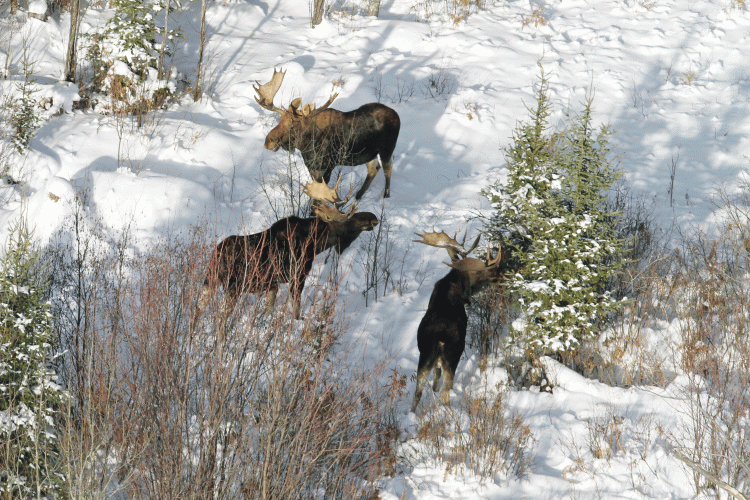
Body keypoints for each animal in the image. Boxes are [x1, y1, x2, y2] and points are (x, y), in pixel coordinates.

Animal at [194, 176, 378, 330]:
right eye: (348, 221)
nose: (373, 218)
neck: (315, 245)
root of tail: (216, 255)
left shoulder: (272, 285)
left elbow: (267, 310)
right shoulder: (297, 276)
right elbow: (296, 310)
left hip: (210, 280)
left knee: (198, 309)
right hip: (234, 286)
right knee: (220, 317)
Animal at [254, 68, 400, 200]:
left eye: (292, 125)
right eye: (279, 120)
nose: (268, 142)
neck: (305, 146)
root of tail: (397, 116)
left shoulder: (327, 167)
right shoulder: (313, 168)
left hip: (387, 149)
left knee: (387, 168)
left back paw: (386, 196)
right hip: (368, 153)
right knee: (374, 167)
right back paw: (358, 196)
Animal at [410, 230, 506, 412]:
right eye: (485, 273)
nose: (502, 276)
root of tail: (439, 341)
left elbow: (435, 378)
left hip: (425, 356)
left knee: (417, 392)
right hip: (452, 355)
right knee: (445, 391)